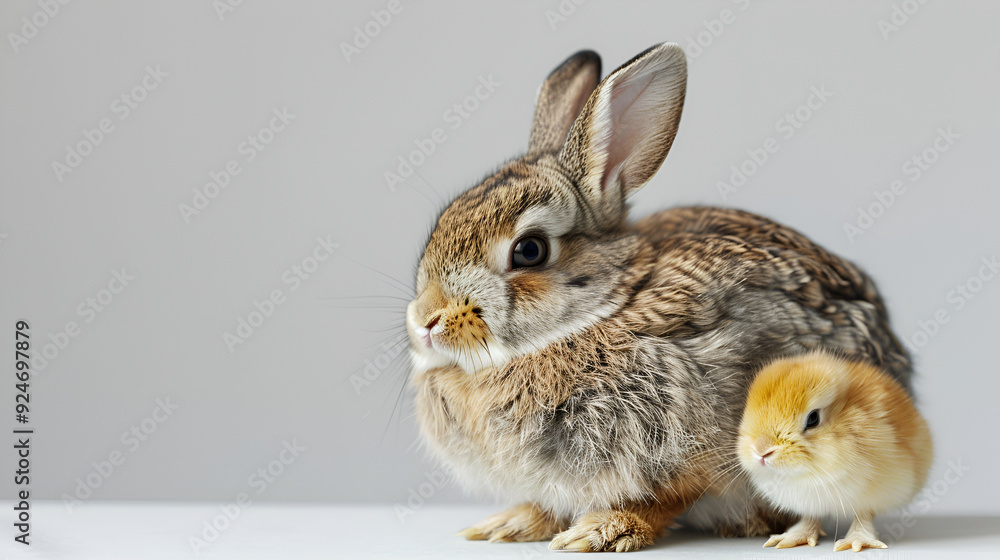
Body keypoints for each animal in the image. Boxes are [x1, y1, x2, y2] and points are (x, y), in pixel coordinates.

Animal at [405, 42, 912, 552]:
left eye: (529, 251)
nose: (425, 321)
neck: (603, 309)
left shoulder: (700, 442)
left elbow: (668, 495)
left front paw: (603, 530)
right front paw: (511, 524)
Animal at [737, 351, 933, 552]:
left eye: (813, 418)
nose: (761, 450)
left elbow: (863, 516)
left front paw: (856, 542)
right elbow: (810, 516)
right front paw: (790, 538)